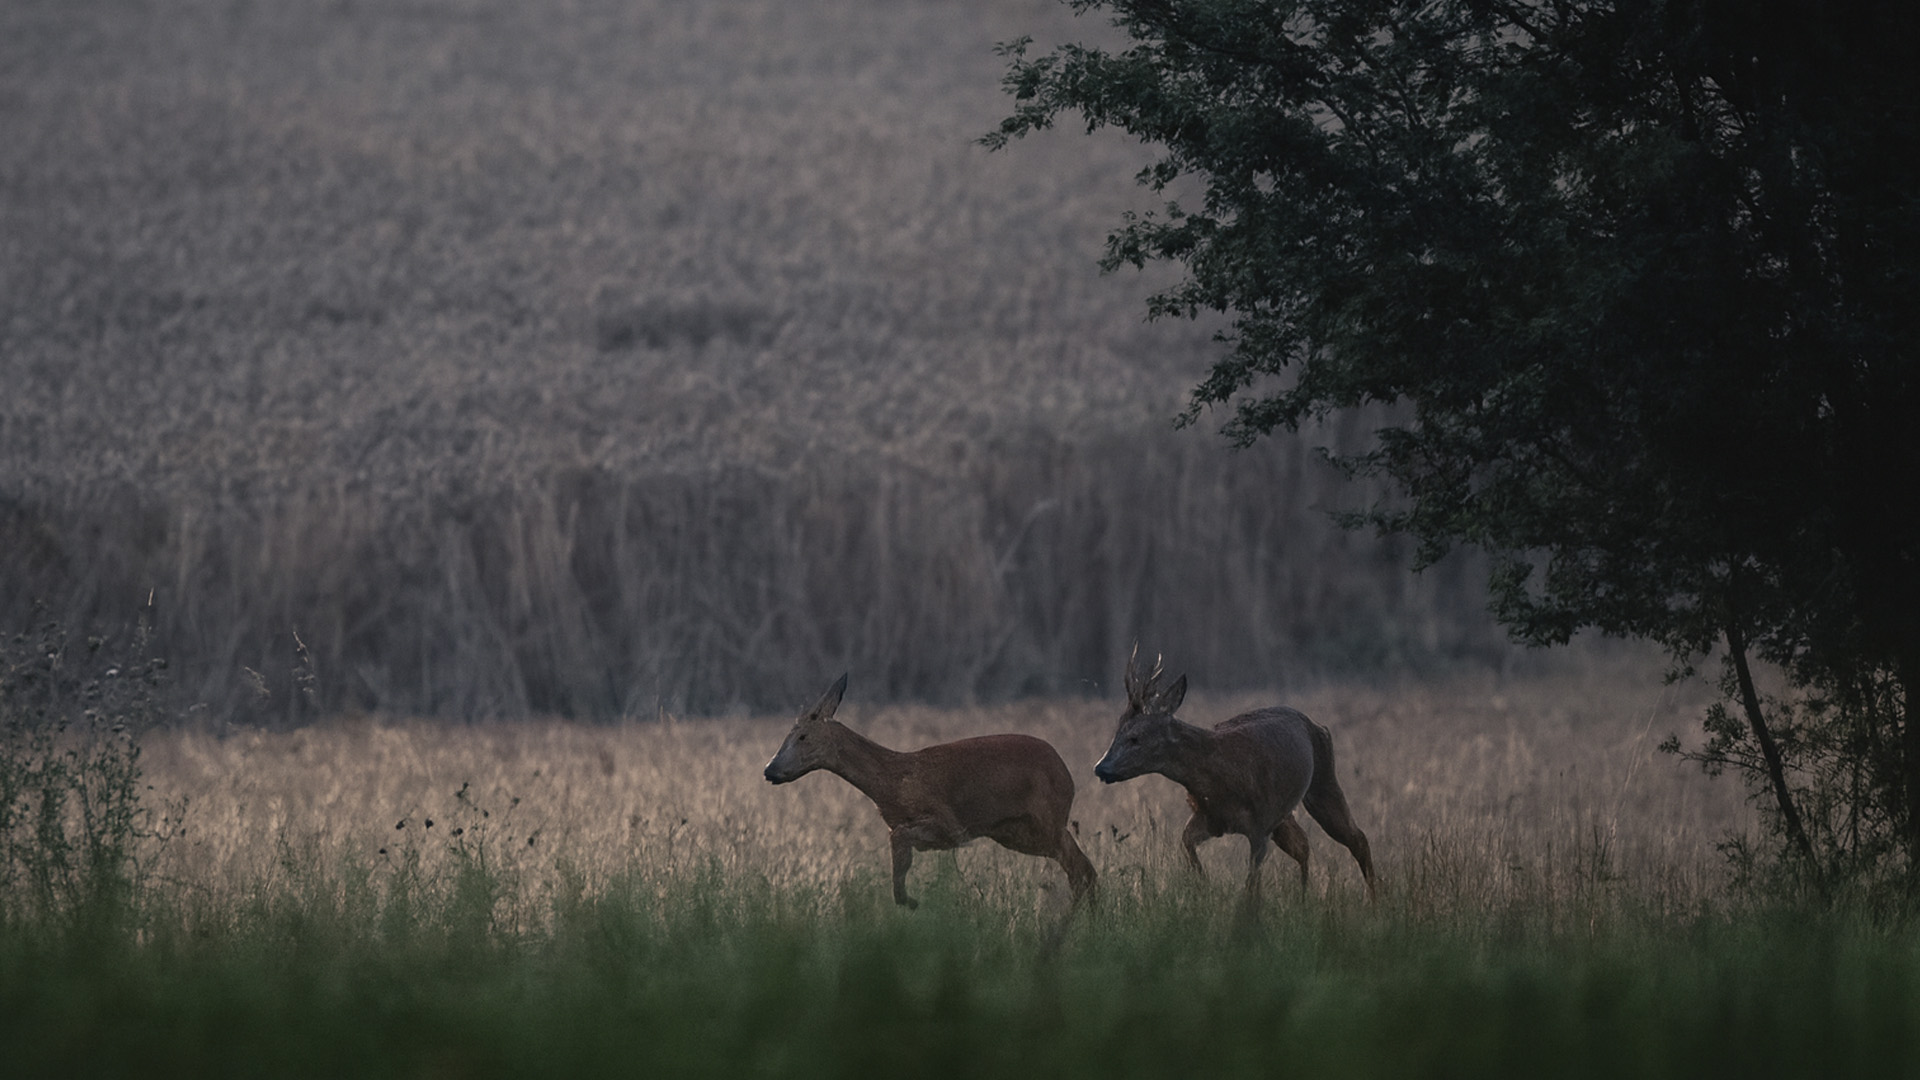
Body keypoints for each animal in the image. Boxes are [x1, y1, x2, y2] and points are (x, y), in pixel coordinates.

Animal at [763, 674, 1097, 911]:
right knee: (1084, 870)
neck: (891, 783)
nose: (769, 769)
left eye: (803, 736)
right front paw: (907, 899)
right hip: (1018, 832)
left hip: (1045, 821)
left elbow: (900, 843)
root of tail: (1067, 773)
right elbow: (900, 853)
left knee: (1081, 870)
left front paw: (910, 900)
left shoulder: (949, 825)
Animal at [1093, 651, 1377, 904]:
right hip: (1284, 816)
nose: (1101, 768)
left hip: (1322, 782)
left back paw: (1375, 899)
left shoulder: (1260, 823)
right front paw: (1204, 888)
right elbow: (1187, 846)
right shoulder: (1210, 818)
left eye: (1135, 738)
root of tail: (1316, 723)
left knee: (1357, 838)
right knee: (1304, 847)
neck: (1222, 778)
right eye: (1116, 732)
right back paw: (1305, 899)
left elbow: (1251, 885)